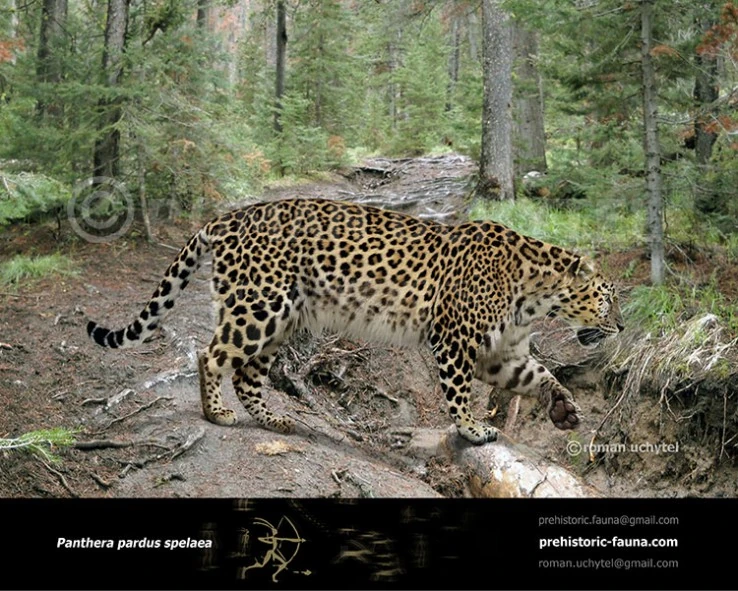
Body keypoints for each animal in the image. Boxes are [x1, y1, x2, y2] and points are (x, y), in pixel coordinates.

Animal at [87, 198, 623, 445]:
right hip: (259, 307)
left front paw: (564, 410)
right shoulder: (456, 340)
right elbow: (459, 392)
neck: (536, 294)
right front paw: (472, 429)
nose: (620, 327)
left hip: (280, 319)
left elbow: (540, 375)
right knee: (211, 353)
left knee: (247, 372)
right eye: (608, 299)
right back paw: (215, 412)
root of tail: (230, 217)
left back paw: (273, 418)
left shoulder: (503, 352)